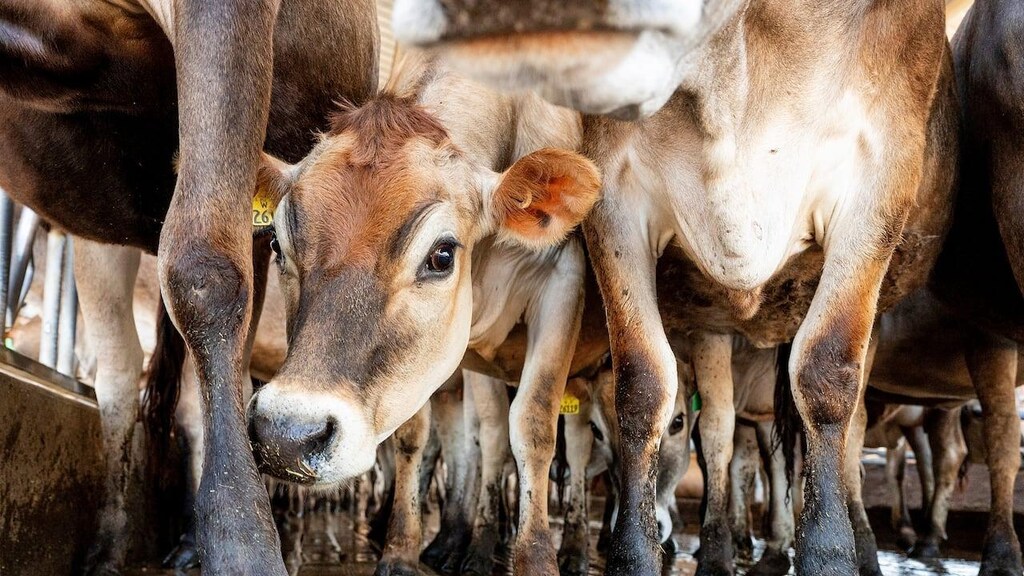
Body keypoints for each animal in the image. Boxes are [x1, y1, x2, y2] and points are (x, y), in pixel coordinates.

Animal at [243, 54, 603, 576]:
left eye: (442, 255)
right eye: (275, 243)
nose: (285, 436)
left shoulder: (564, 276)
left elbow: (534, 426)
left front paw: (536, 560)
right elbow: (418, 435)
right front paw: (400, 551)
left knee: (571, 442)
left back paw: (572, 547)